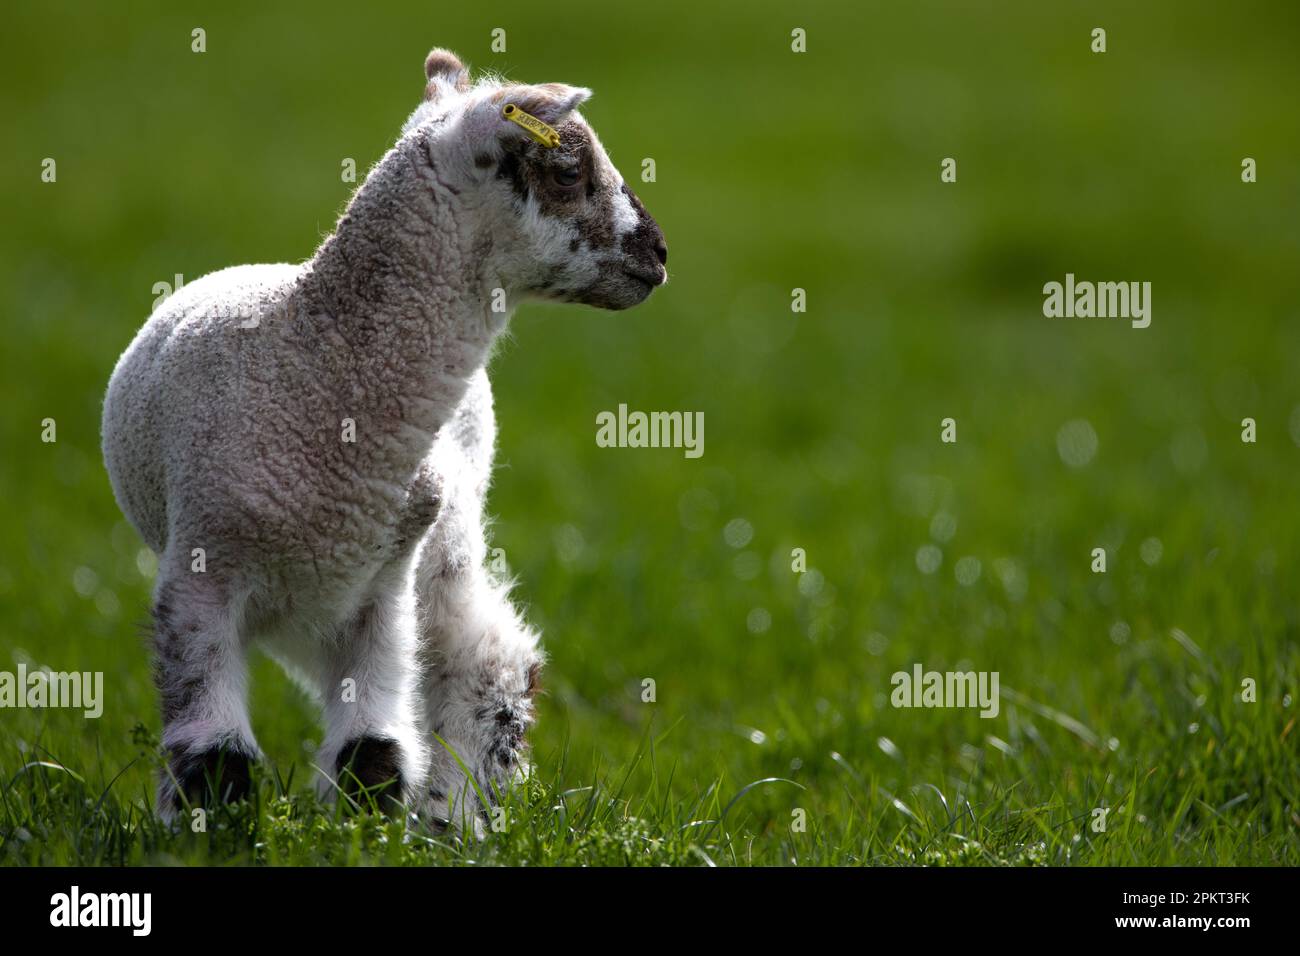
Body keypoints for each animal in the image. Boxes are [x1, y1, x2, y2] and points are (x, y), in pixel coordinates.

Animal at [100, 47, 668, 825]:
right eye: (566, 172)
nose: (660, 255)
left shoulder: (382, 581)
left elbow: (372, 741)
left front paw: (371, 821)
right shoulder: (202, 574)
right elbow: (214, 747)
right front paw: (211, 825)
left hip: (446, 533)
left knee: (485, 657)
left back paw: (459, 813)